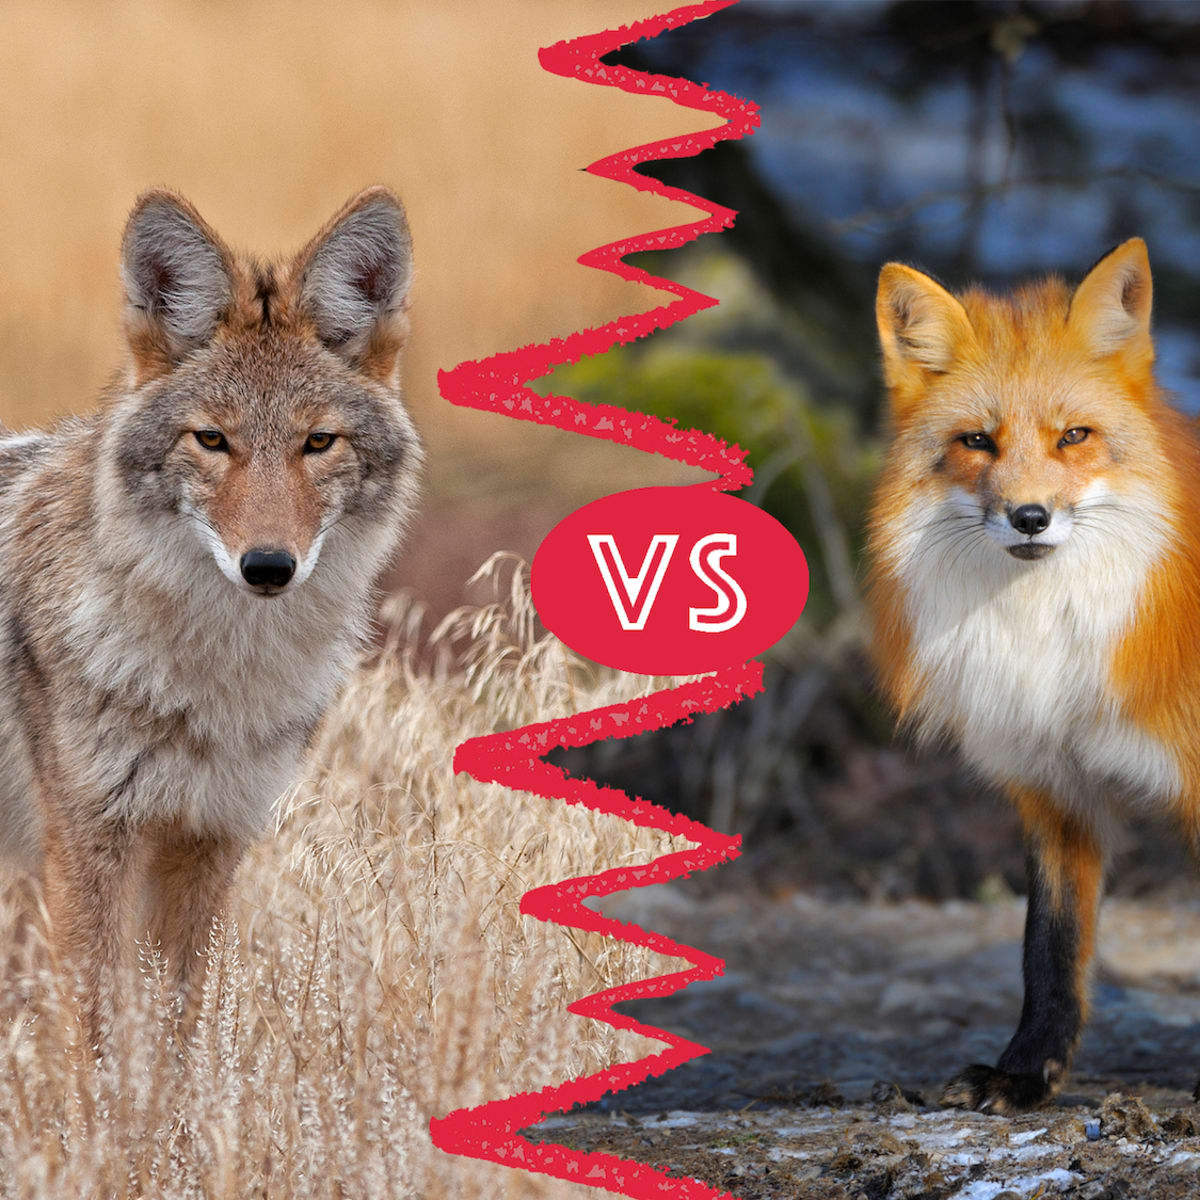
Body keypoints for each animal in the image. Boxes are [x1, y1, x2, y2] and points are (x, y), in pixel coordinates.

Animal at [0, 187, 421, 1048]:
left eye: (317, 442)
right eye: (212, 440)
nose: (267, 566)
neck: (218, 679)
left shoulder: (207, 842)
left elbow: (175, 1035)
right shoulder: (88, 847)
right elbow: (99, 1040)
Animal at [867, 238, 1200, 1113]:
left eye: (1074, 436)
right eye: (977, 442)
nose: (1028, 517)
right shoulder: (1056, 784)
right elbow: (1049, 947)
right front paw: (1024, 1072)